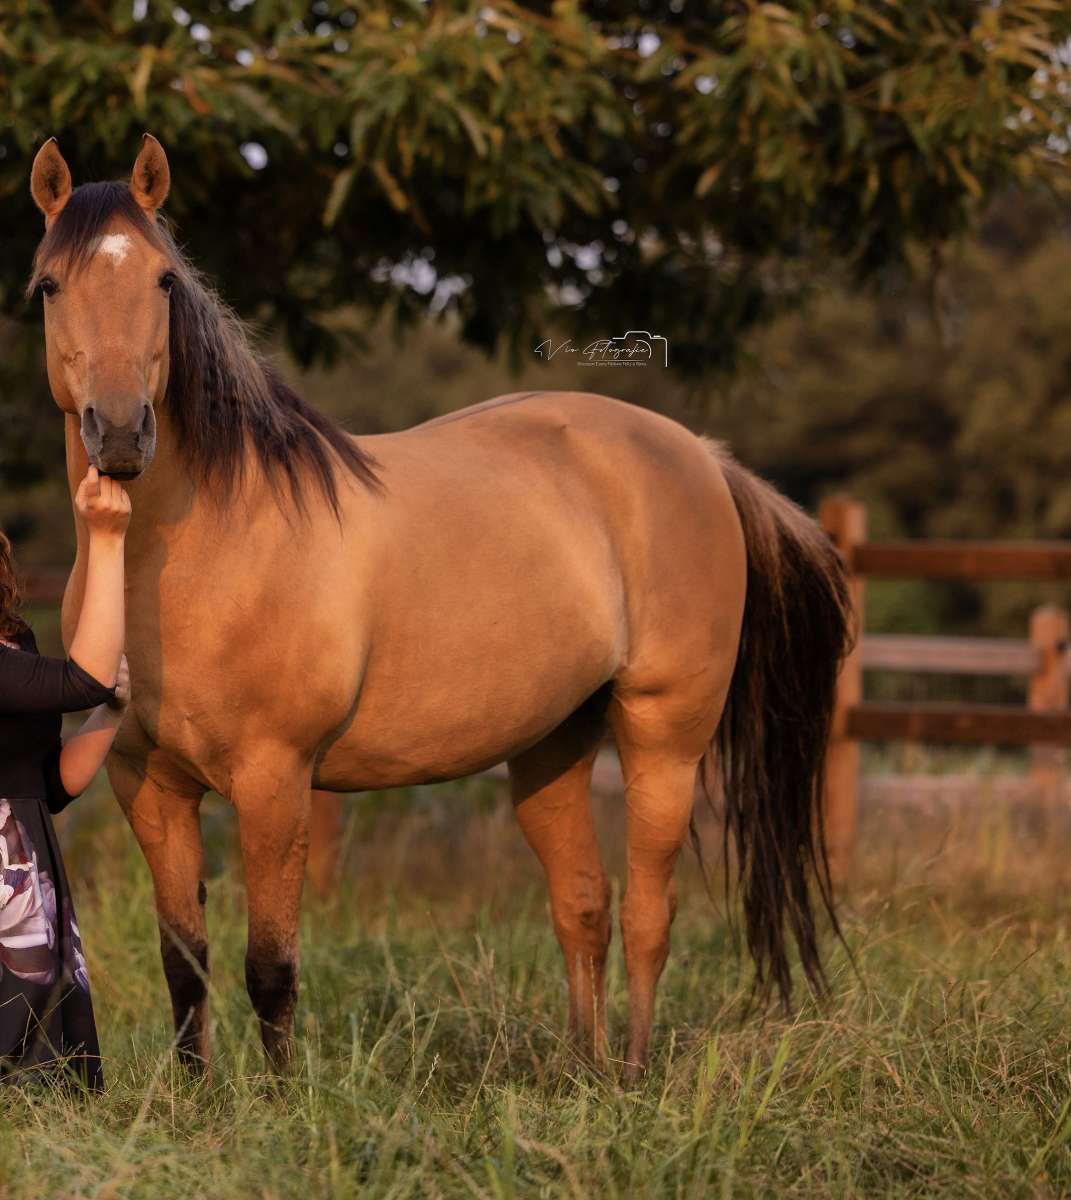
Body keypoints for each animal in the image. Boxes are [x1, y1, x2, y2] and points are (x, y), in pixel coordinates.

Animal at [27, 135, 851, 1078]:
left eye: (164, 279)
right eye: (48, 286)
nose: (122, 435)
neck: (199, 551)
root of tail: (704, 457)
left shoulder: (276, 781)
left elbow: (269, 967)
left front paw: (274, 1103)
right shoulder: (148, 788)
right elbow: (184, 962)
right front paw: (197, 1099)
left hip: (664, 738)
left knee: (648, 913)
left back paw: (636, 1076)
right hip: (551, 744)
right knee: (583, 905)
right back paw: (586, 1078)